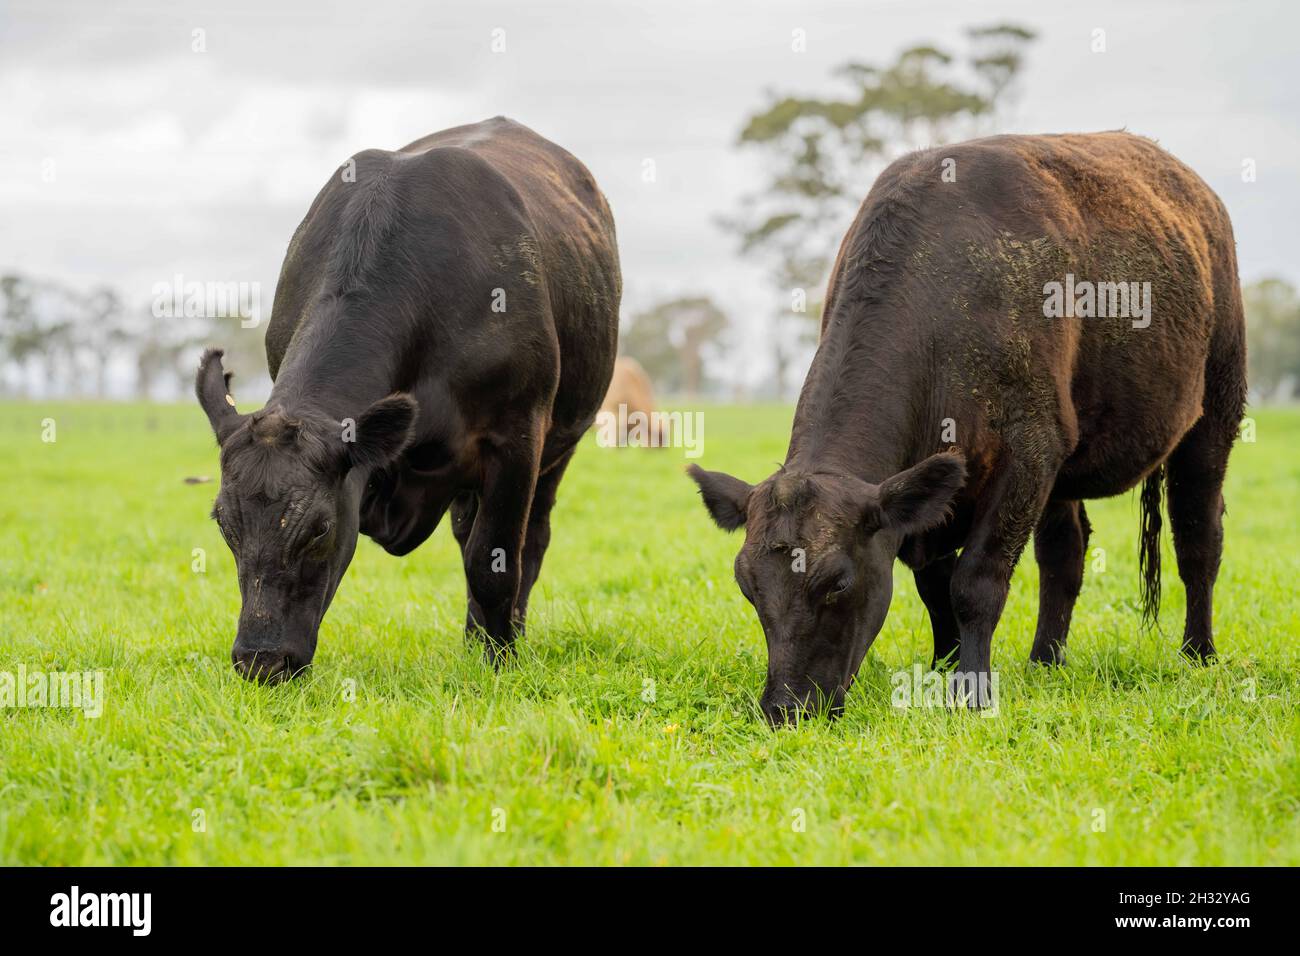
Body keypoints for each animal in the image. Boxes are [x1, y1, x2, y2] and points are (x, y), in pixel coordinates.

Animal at [197, 117, 621, 681]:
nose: (260, 661)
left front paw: (499, 664)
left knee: (530, 540)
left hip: (560, 447)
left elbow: (495, 560)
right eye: (225, 525)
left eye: (319, 528)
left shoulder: (517, 437)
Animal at [689, 132, 1246, 725]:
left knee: (1198, 539)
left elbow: (975, 582)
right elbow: (934, 586)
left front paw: (970, 689)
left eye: (837, 581)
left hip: (1215, 413)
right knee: (1065, 553)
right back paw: (1045, 660)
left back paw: (1198, 654)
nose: (784, 708)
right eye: (747, 585)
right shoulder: (934, 495)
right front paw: (942, 667)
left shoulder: (1028, 450)